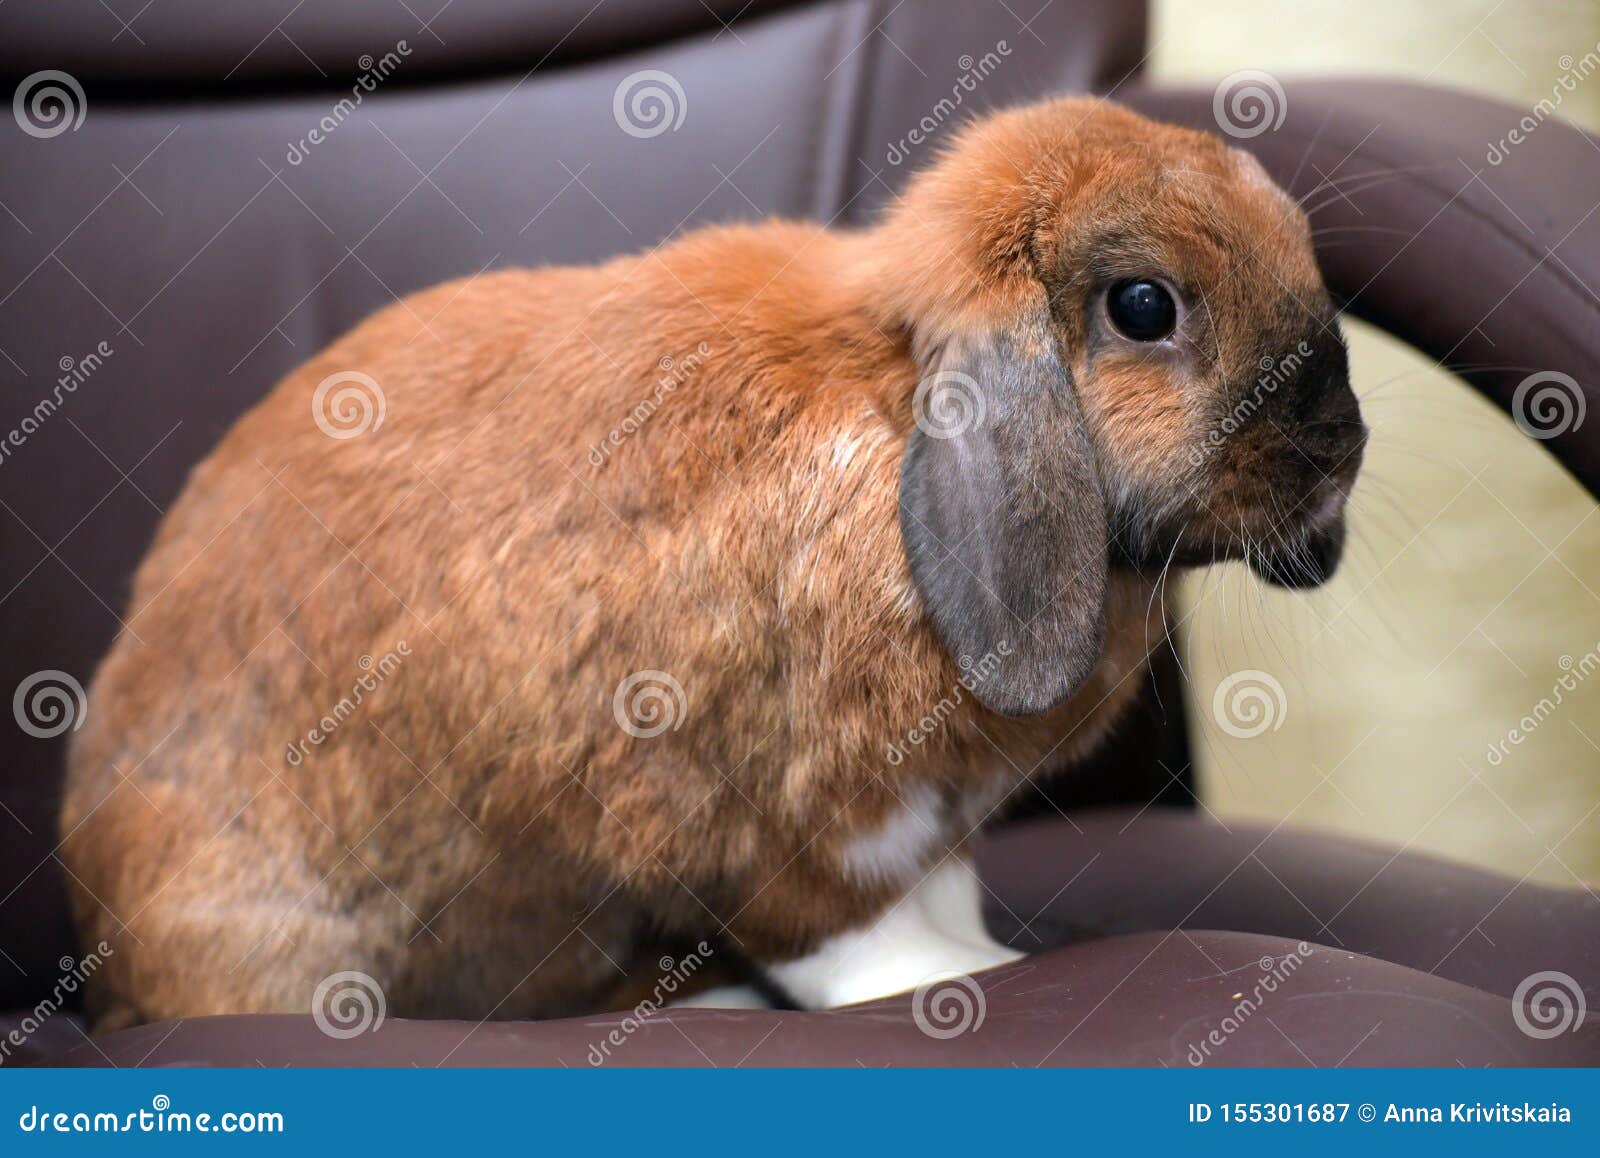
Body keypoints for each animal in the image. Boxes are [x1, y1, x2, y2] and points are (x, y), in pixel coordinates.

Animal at [60, 95, 1365, 1030]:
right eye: (1144, 306)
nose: (1342, 445)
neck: (887, 410)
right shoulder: (757, 807)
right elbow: (838, 929)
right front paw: (946, 976)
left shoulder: (930, 816)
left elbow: (937, 880)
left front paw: (979, 945)